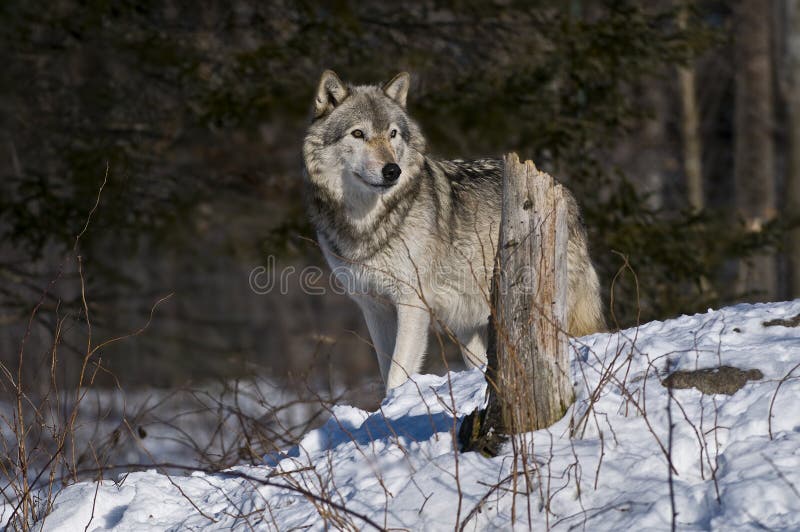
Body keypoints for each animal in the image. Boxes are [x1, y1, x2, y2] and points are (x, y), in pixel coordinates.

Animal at [303, 70, 605, 392]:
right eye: (358, 134)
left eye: (393, 134)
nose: (392, 171)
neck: (368, 223)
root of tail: (567, 194)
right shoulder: (374, 308)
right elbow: (386, 373)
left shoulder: (412, 304)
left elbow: (397, 376)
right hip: (469, 328)